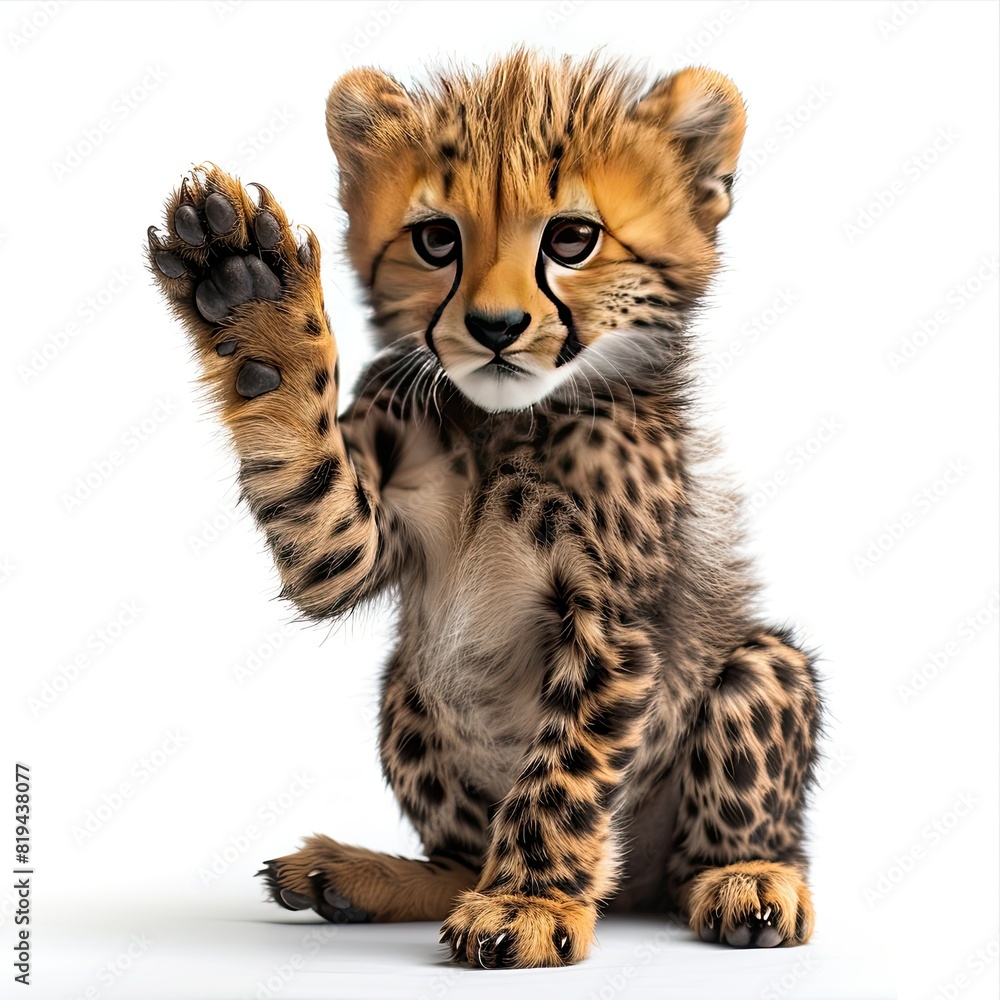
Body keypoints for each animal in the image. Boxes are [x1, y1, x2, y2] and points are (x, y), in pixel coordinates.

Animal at [146, 49, 822, 969]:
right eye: (438, 240)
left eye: (571, 239)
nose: (496, 326)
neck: (503, 426)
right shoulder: (347, 542)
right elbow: (313, 506)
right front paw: (248, 299)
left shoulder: (614, 627)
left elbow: (563, 774)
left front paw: (529, 904)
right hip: (407, 690)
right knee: (461, 853)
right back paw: (358, 877)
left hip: (760, 671)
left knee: (717, 830)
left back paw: (749, 880)